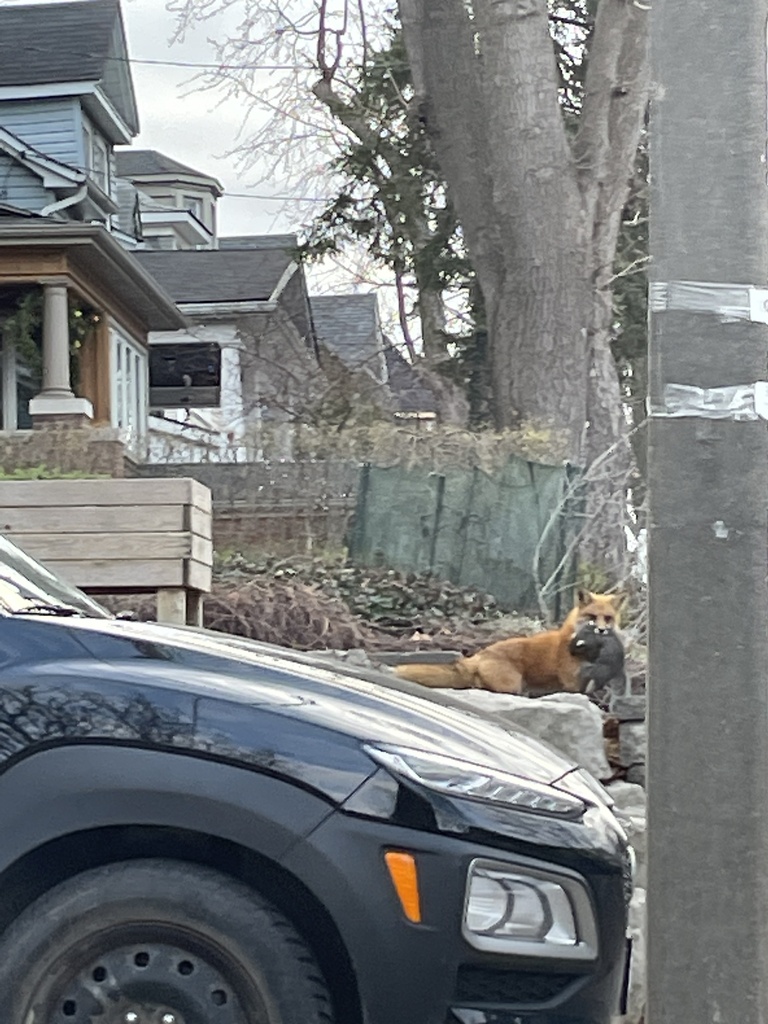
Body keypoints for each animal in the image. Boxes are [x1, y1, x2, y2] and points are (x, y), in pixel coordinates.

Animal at [394, 589, 625, 695]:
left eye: (608, 618)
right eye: (592, 617)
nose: (603, 631)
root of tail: (478, 656)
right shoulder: (571, 683)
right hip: (512, 684)